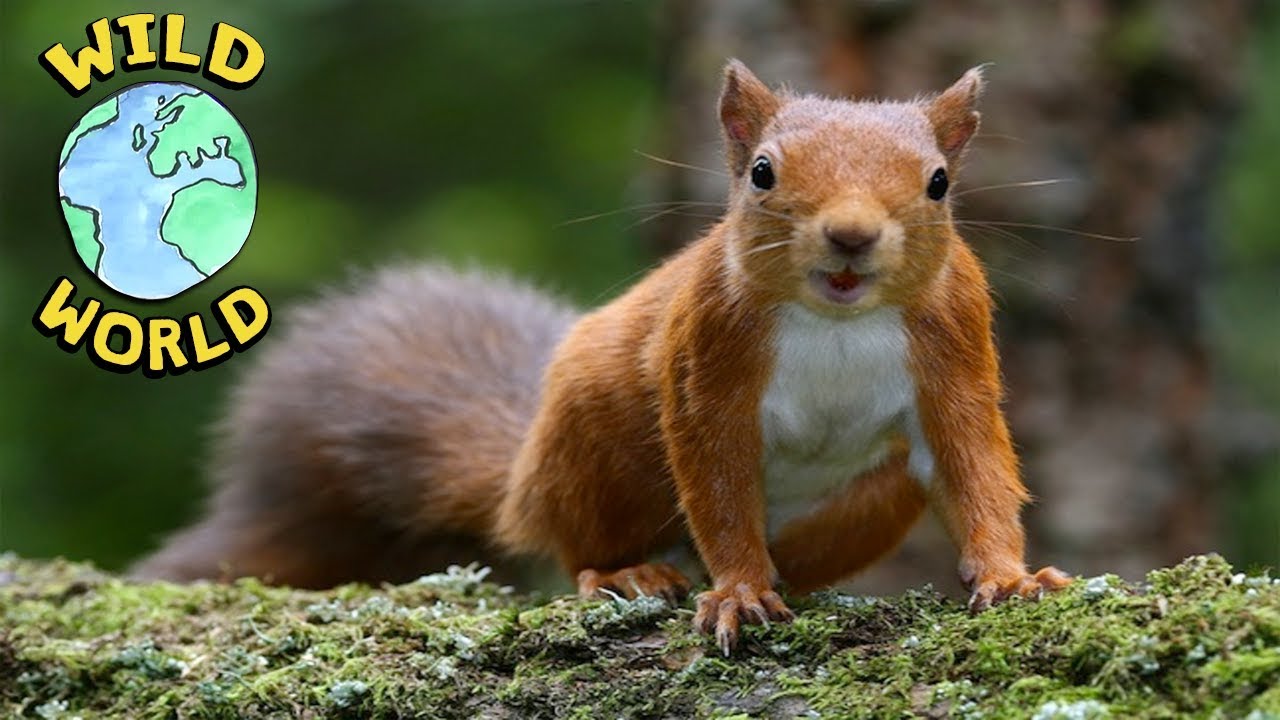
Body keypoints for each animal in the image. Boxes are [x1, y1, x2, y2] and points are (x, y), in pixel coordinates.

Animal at [133, 60, 1070, 652]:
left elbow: (975, 466)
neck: (836, 318)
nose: (849, 236)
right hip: (595, 449)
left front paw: (1010, 577)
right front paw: (737, 591)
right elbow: (718, 485)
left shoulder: (956, 347)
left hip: (870, 500)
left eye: (939, 182)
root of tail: (523, 483)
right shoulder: (705, 356)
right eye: (762, 172)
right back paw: (628, 575)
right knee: (581, 545)